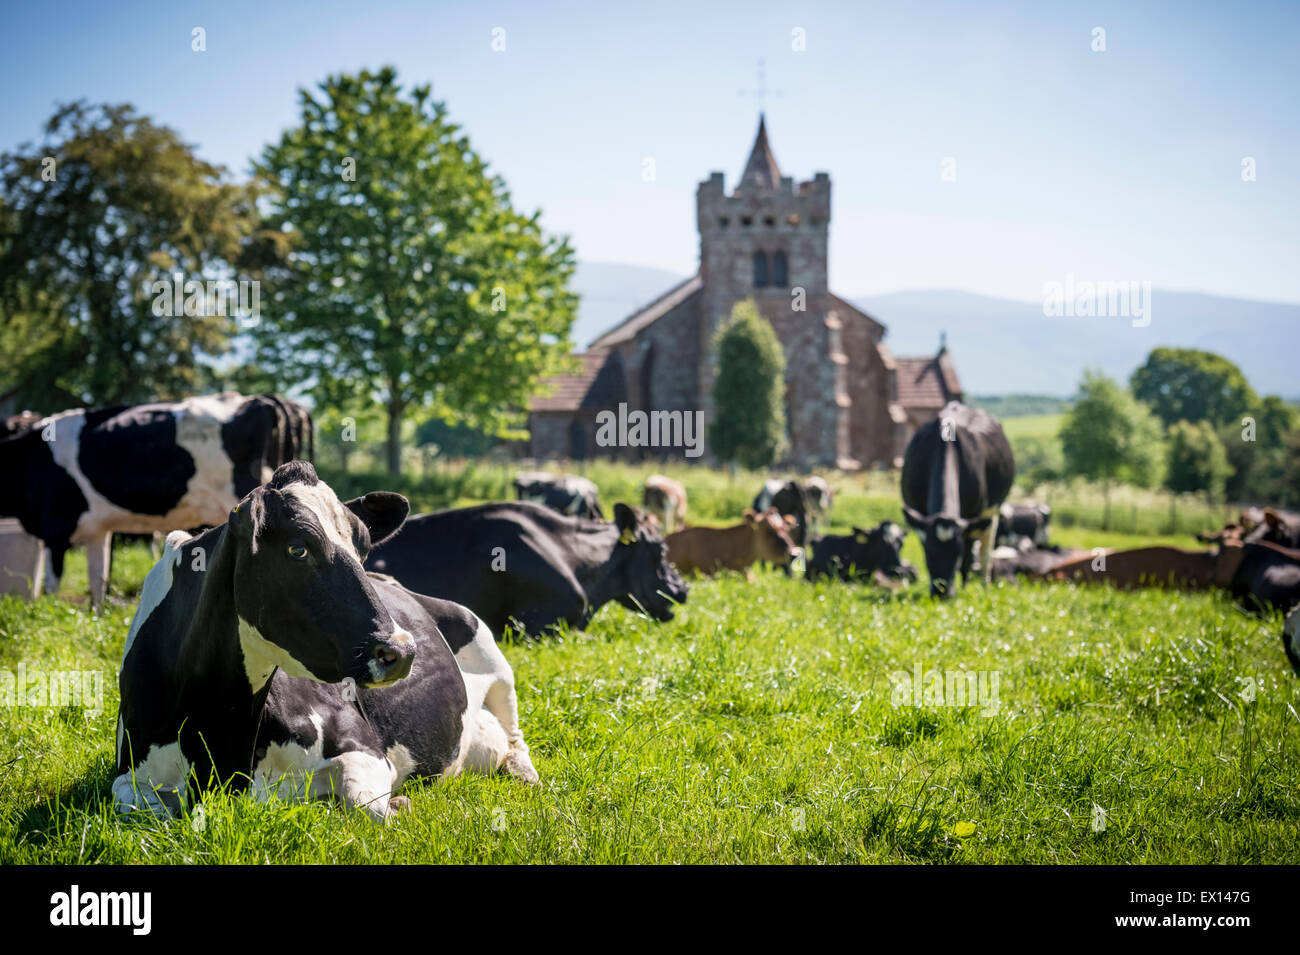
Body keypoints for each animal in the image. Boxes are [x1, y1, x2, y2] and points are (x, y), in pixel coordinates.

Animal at [113, 462, 537, 822]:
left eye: (363, 549)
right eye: (298, 548)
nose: (401, 650)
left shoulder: (363, 748)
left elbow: (371, 810)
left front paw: (395, 804)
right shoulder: (128, 776)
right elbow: (137, 806)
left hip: (488, 650)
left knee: (516, 738)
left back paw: (522, 772)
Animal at [901, 401, 1015, 597]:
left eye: (957, 554)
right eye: (929, 553)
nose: (942, 592)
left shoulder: (970, 520)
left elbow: (968, 558)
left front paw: (964, 587)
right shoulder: (920, 516)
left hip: (992, 513)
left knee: (985, 552)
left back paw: (983, 584)